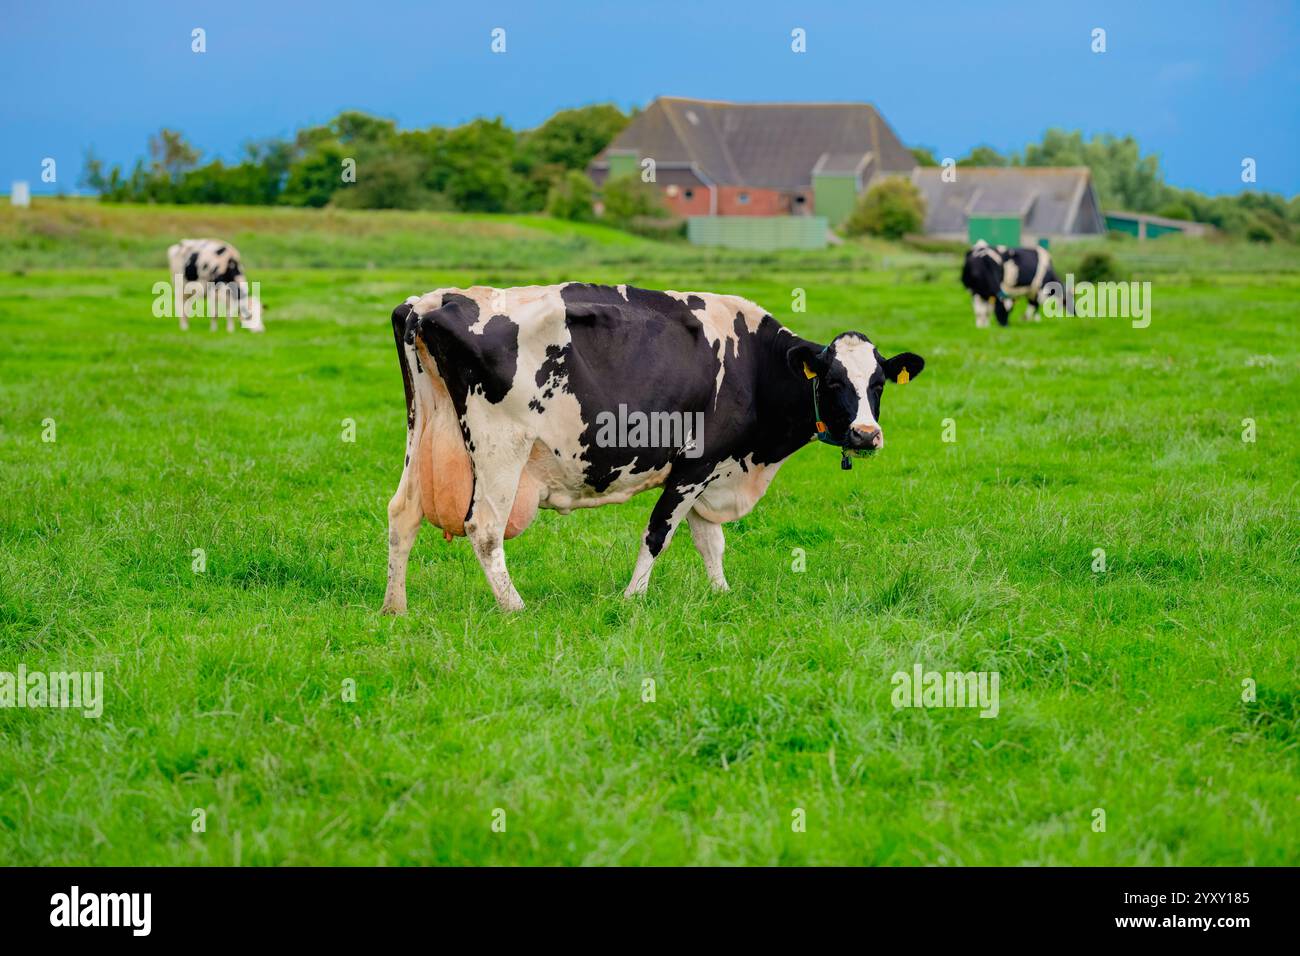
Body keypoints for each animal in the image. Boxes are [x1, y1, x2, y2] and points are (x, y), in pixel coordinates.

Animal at [381, 283, 926, 612]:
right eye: (833, 382)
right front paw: (632, 598)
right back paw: (515, 608)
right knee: (485, 529)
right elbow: (658, 534)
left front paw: (721, 594)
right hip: (501, 448)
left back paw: (396, 607)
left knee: (403, 513)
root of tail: (431, 301)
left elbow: (710, 541)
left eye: (877, 384)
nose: (866, 435)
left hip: (422, 430)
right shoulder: (695, 464)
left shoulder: (714, 471)